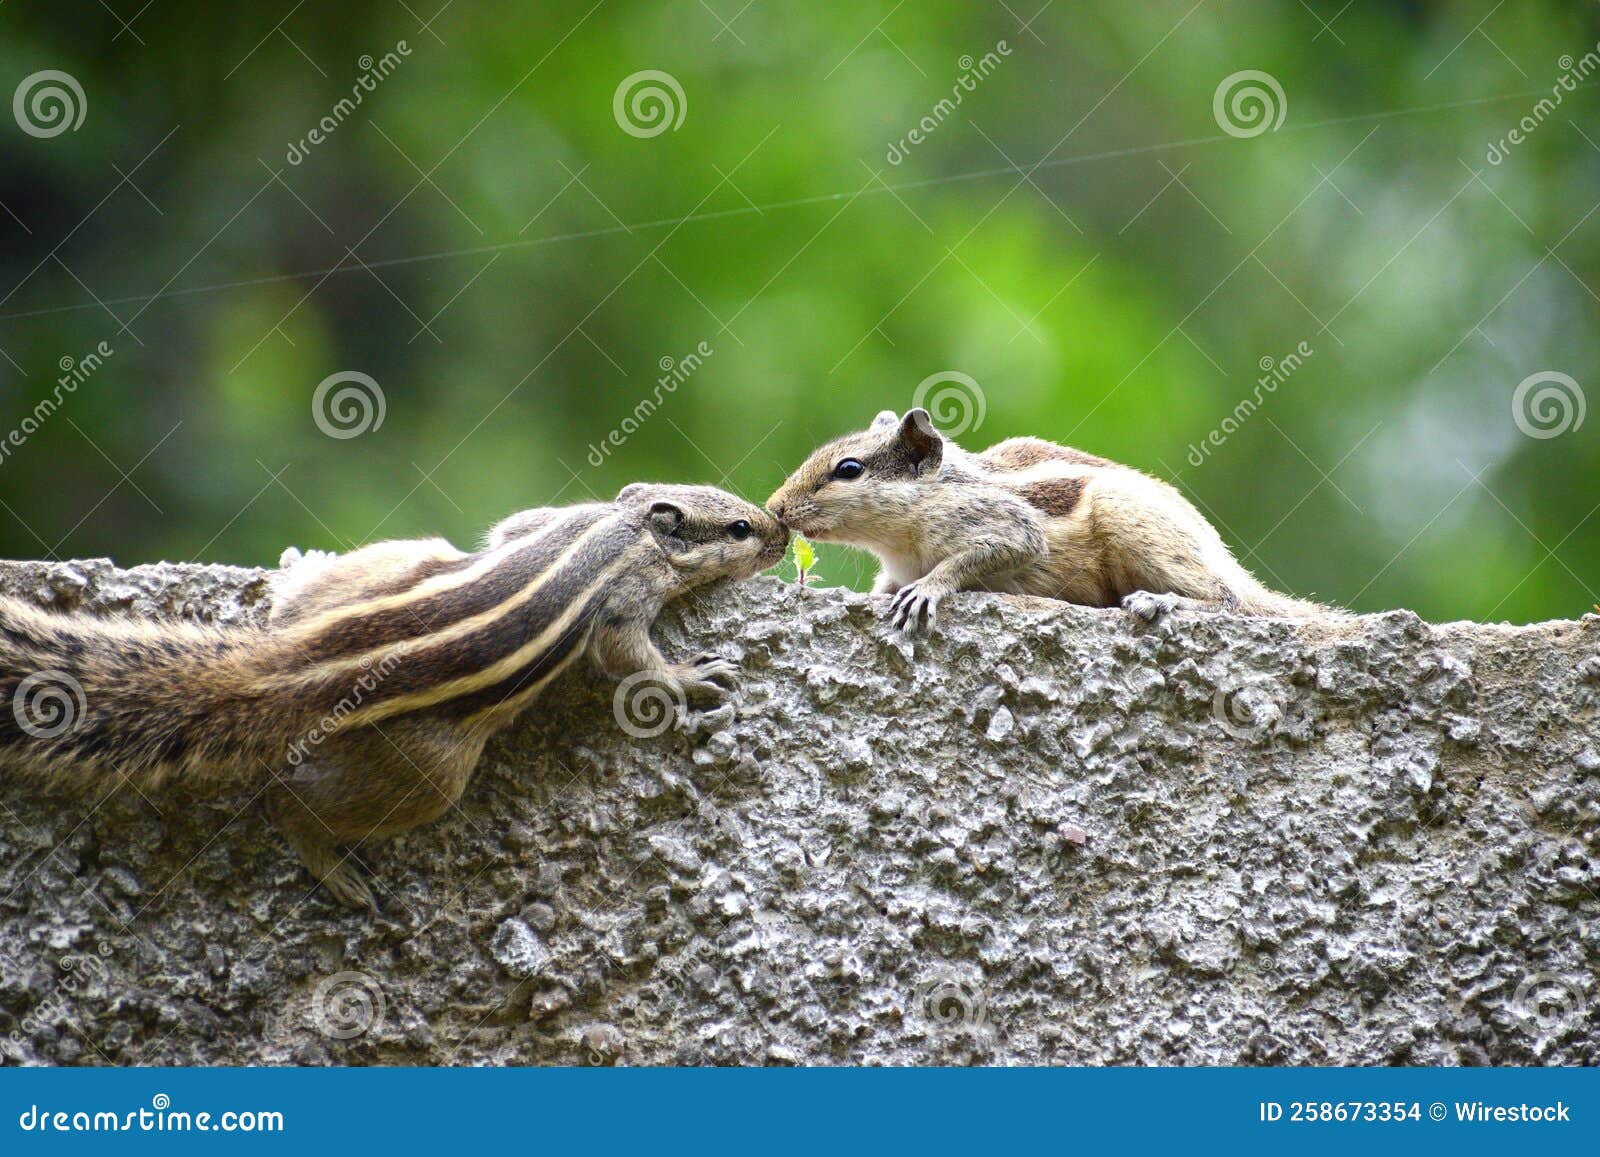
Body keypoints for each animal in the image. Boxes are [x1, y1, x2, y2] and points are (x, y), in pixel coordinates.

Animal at [0, 484, 786, 909]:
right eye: (741, 526)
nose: (781, 532)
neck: (616, 525)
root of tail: (292, 668)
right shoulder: (626, 600)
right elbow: (630, 658)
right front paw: (691, 677)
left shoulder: (535, 521)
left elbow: (508, 528)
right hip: (430, 771)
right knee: (289, 801)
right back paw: (331, 864)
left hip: (401, 560)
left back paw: (300, 567)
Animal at [766, 408, 1329, 633]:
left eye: (849, 469)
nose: (775, 508)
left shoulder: (1004, 525)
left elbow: (988, 553)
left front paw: (928, 588)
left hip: (1134, 524)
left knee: (1227, 601)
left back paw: (1161, 601)